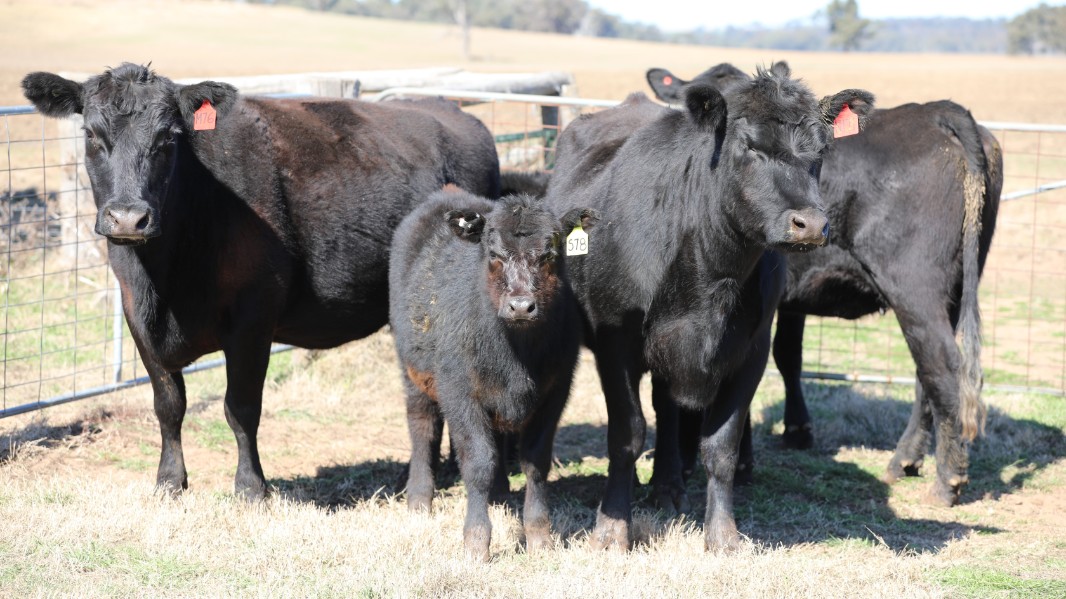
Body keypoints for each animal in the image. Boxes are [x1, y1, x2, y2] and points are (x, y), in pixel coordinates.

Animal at [21, 63, 500, 501]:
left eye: (167, 138)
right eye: (91, 136)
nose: (127, 217)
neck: (164, 280)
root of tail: (451, 110)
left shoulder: (253, 317)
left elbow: (241, 407)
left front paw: (251, 487)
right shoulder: (136, 316)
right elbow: (168, 405)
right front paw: (169, 482)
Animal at [389, 189, 597, 561]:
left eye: (549, 253)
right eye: (494, 254)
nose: (521, 306)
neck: (516, 354)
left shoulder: (555, 392)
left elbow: (535, 462)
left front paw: (539, 537)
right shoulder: (460, 392)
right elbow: (477, 463)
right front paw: (476, 541)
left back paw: (499, 495)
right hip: (412, 371)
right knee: (423, 426)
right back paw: (419, 499)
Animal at [545, 61, 874, 551]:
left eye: (821, 151)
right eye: (750, 146)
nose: (811, 224)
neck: (710, 272)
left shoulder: (750, 350)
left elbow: (721, 446)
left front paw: (723, 535)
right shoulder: (615, 345)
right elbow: (627, 435)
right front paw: (611, 528)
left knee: (667, 410)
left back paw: (667, 487)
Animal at [647, 64, 1002, 507]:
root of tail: (936, 111)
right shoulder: (783, 299)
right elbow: (787, 356)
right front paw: (789, 435)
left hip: (914, 287)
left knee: (941, 364)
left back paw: (947, 479)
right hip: (955, 287)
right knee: (927, 372)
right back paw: (904, 460)